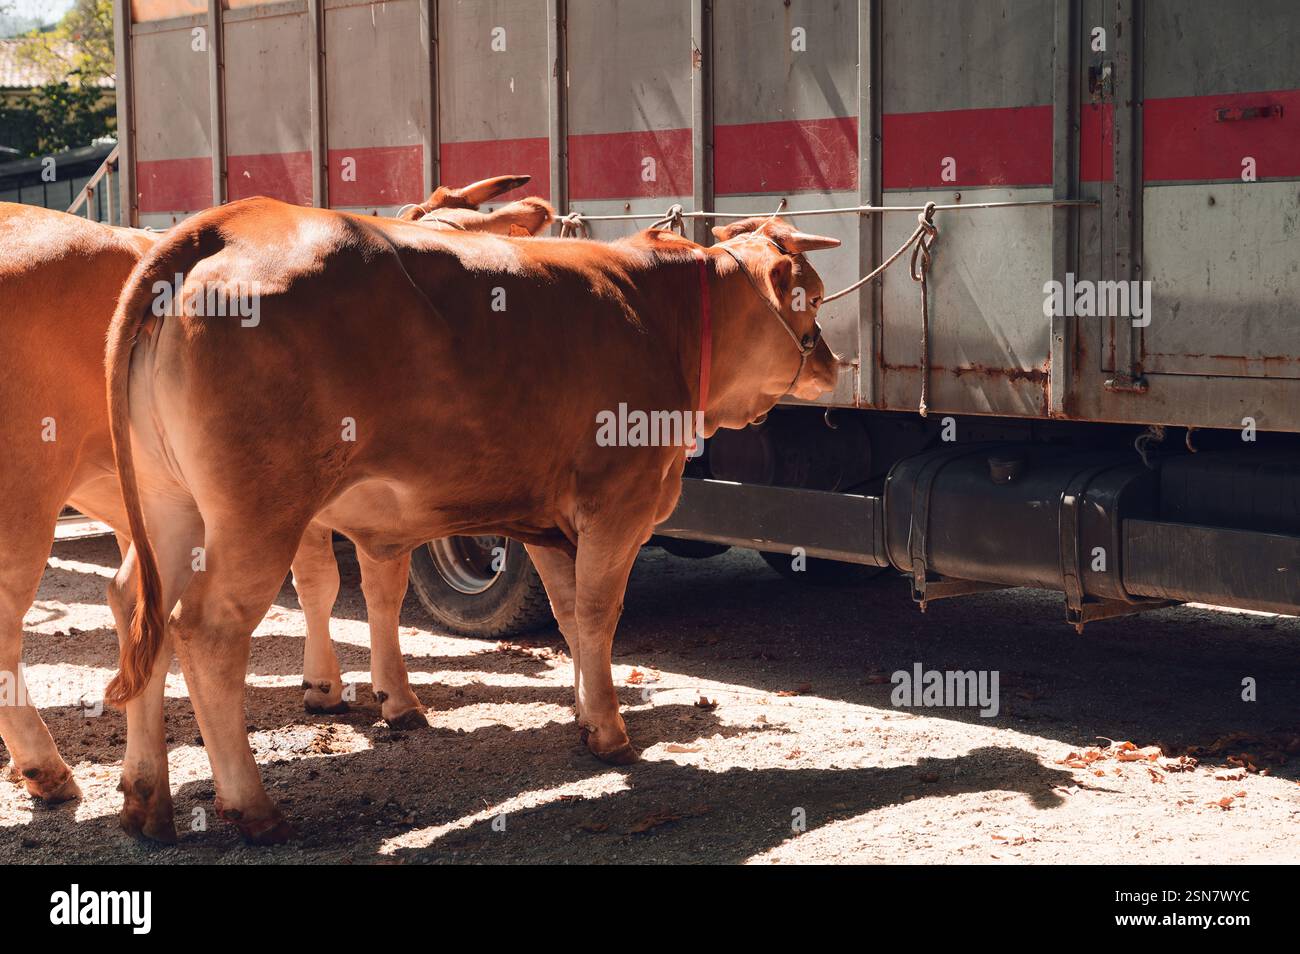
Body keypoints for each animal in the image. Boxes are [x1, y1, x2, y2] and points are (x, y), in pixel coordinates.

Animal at [0, 175, 550, 815]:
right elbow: (367, 585)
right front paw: (391, 696)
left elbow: (317, 582)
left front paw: (322, 683)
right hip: (26, 493)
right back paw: (48, 770)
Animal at [103, 197, 844, 843]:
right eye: (810, 294)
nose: (835, 362)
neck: (662, 316)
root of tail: (233, 220)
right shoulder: (619, 503)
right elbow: (600, 614)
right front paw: (611, 736)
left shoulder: (548, 522)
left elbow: (572, 619)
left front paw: (586, 716)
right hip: (257, 514)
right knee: (206, 631)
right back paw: (252, 809)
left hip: (174, 508)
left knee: (142, 611)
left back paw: (145, 803)